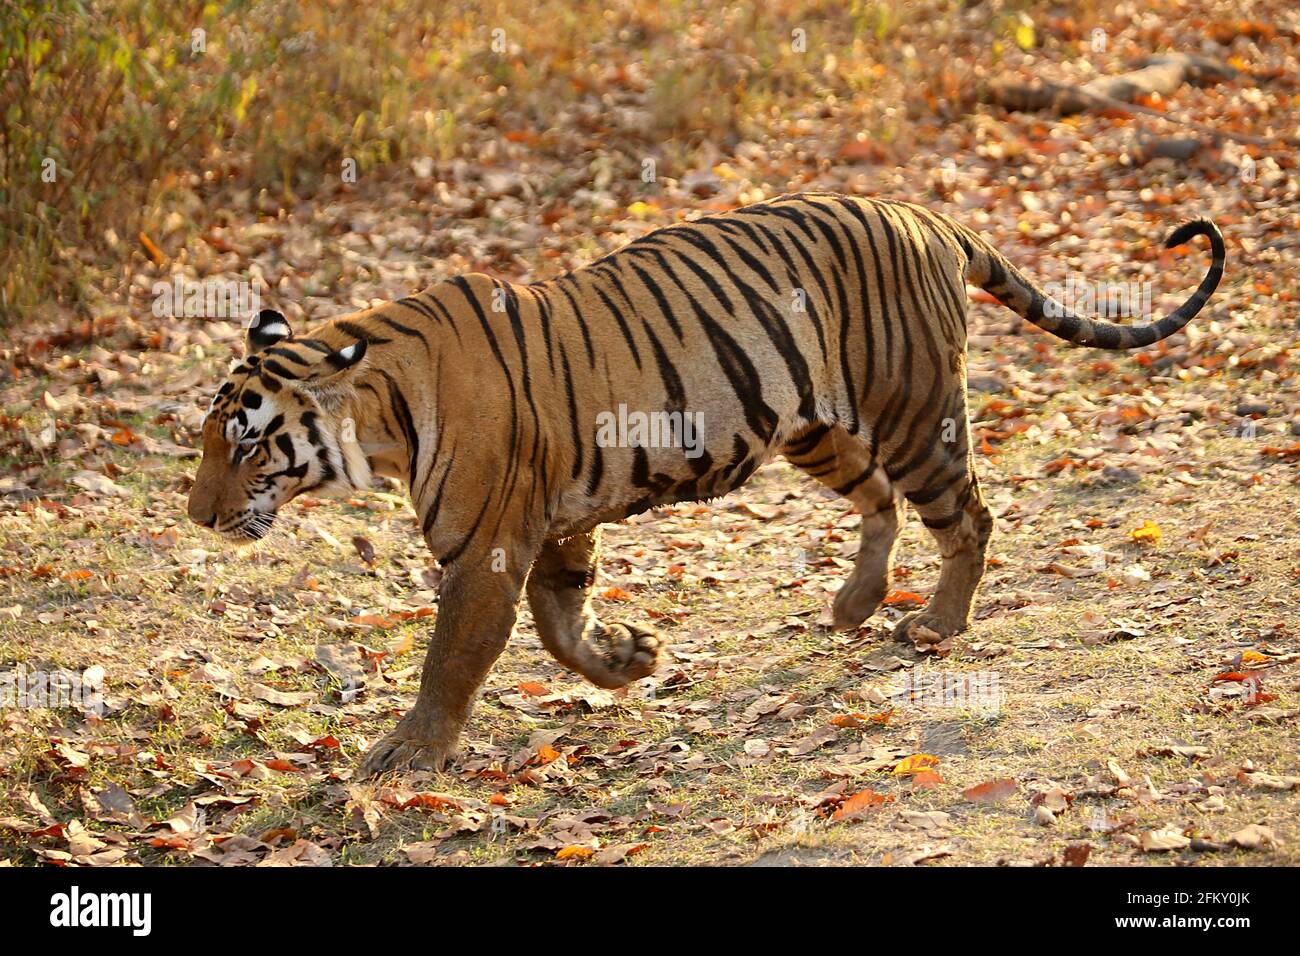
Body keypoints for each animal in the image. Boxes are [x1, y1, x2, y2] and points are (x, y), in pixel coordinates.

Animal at [187, 192, 1224, 774]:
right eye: (207, 438)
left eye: (246, 445)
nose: (196, 516)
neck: (383, 415)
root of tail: (931, 216)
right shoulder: (557, 523)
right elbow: (560, 628)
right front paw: (631, 661)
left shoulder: (484, 548)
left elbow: (454, 659)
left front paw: (406, 754)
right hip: (813, 427)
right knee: (879, 503)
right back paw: (854, 605)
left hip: (911, 408)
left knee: (967, 515)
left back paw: (935, 623)